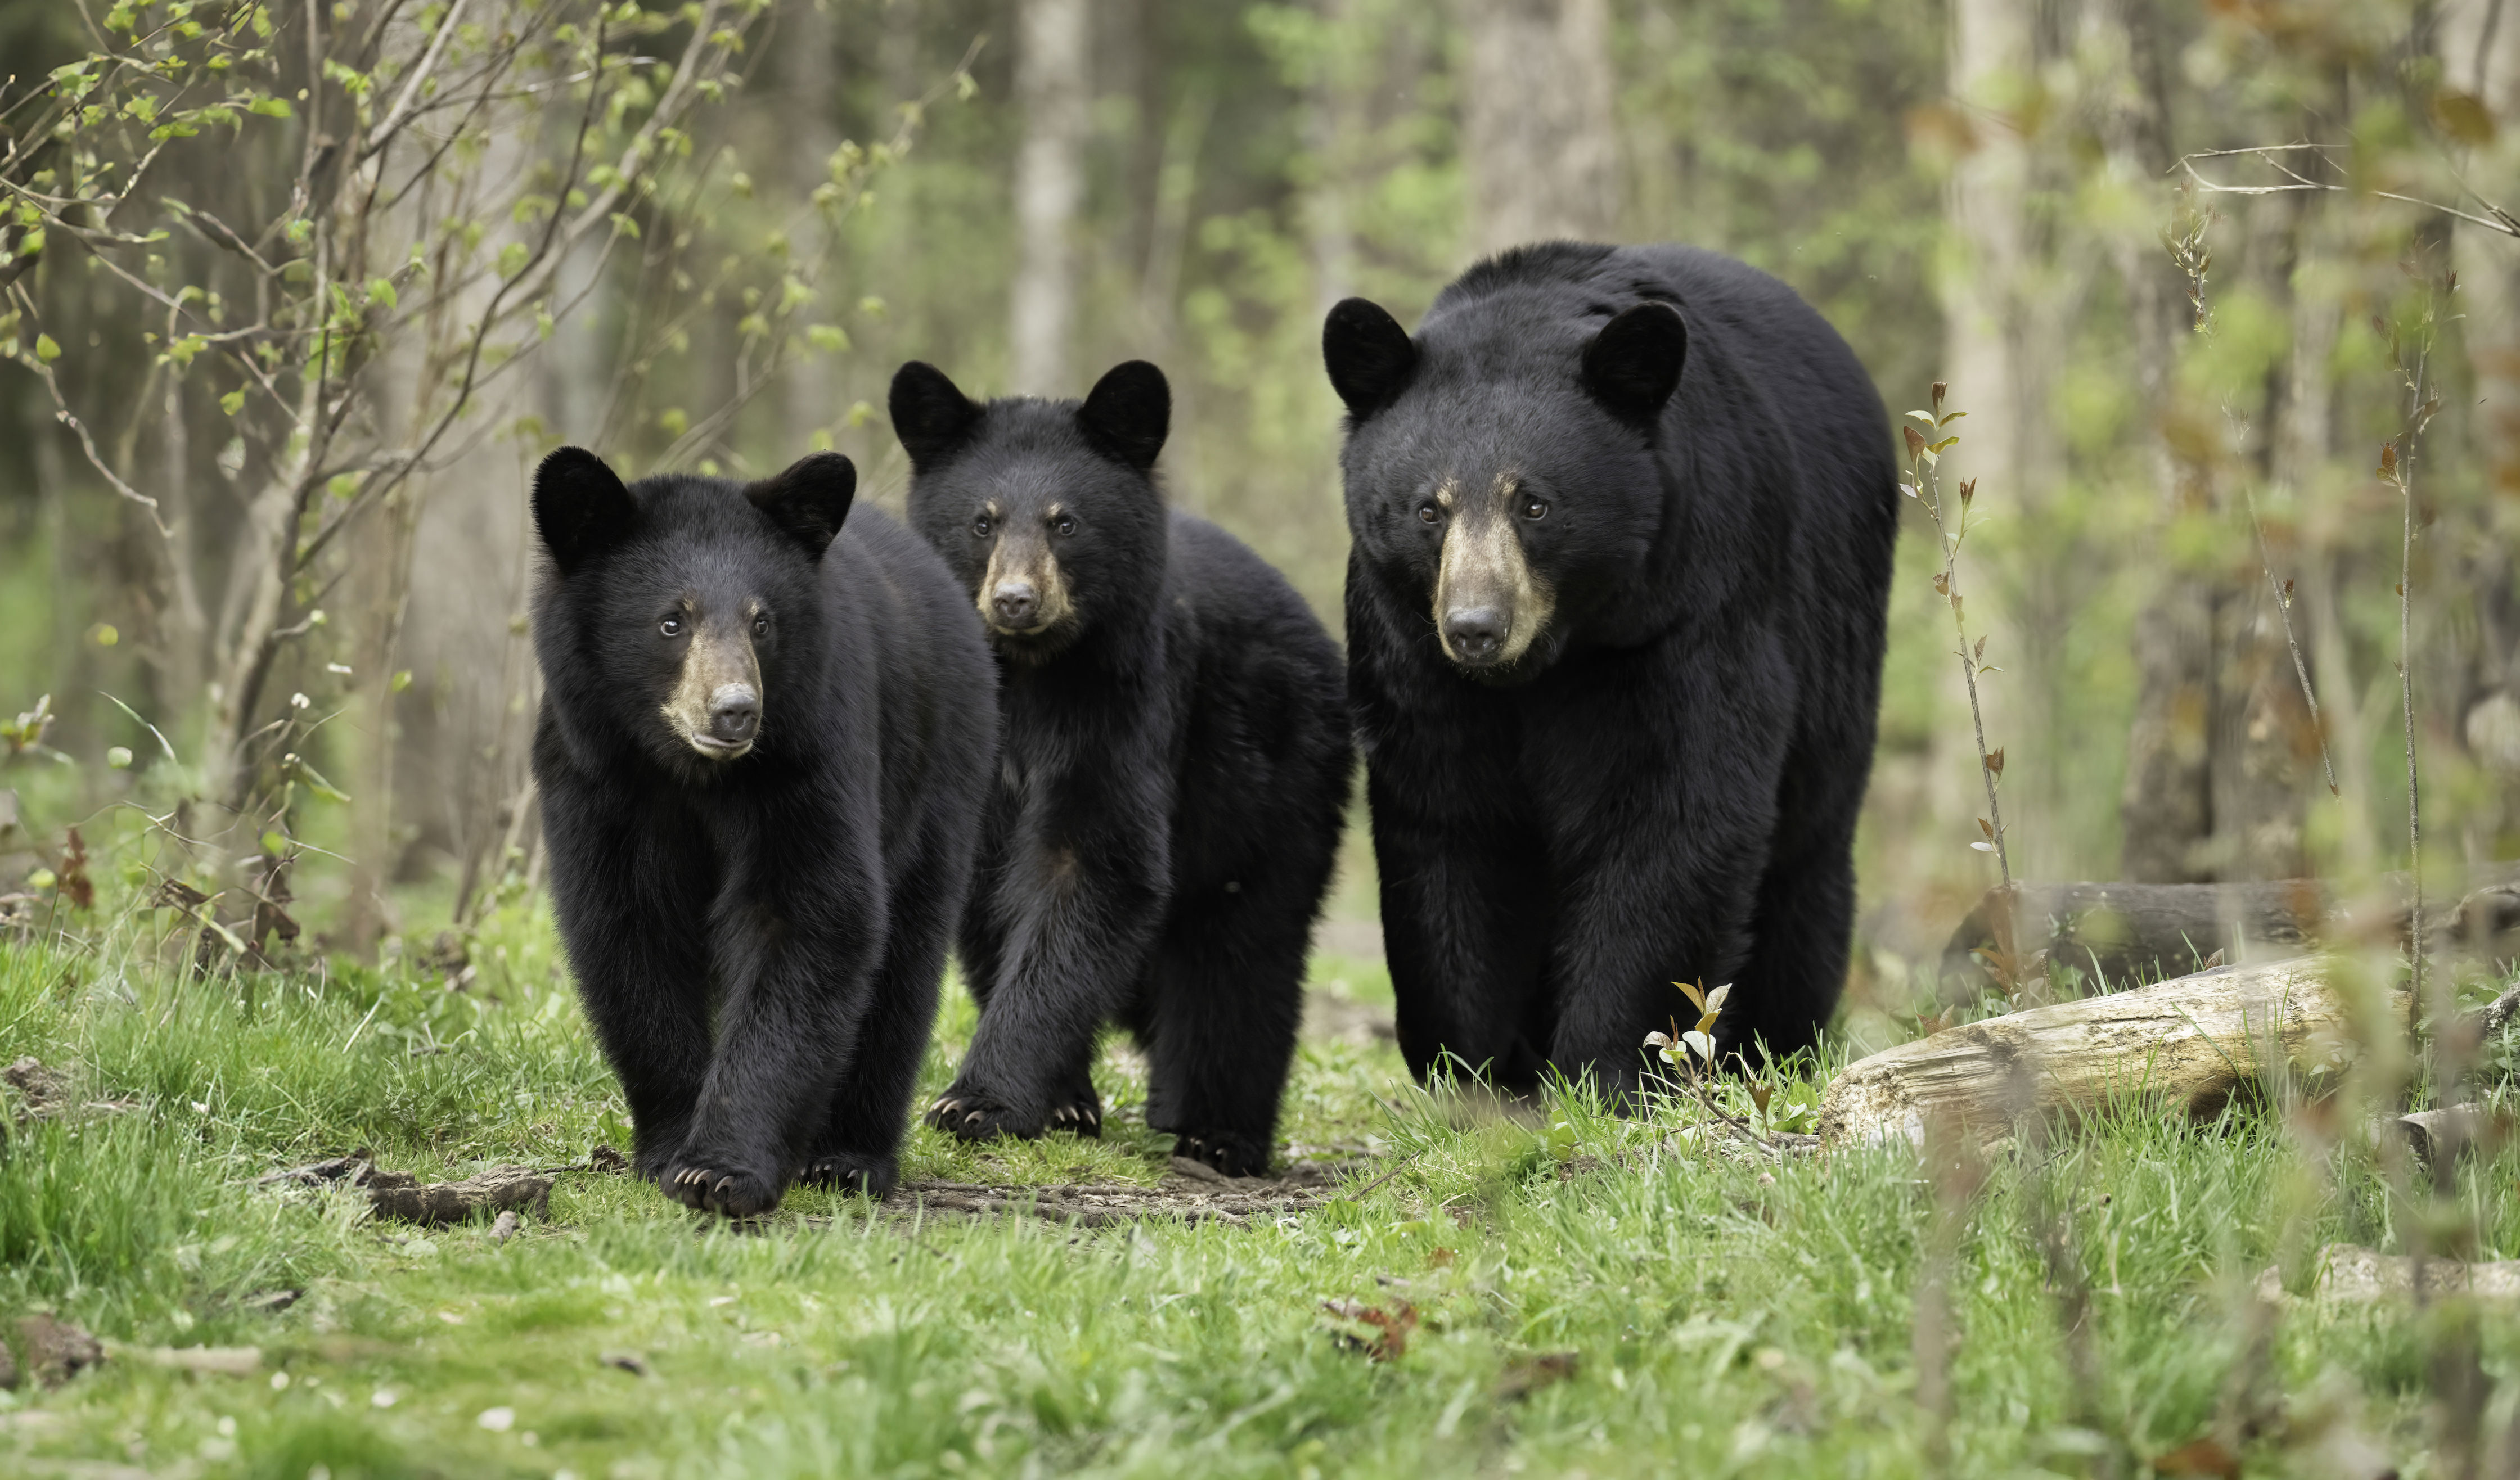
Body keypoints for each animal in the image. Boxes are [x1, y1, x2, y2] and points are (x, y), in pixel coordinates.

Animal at [529, 446, 997, 1216]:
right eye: (672, 621)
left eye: (761, 623)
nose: (735, 711)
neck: (692, 772)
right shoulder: (596, 774)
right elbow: (628, 932)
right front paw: (669, 1148)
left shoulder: (809, 756)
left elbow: (808, 916)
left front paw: (718, 1170)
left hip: (938, 769)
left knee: (903, 960)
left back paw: (849, 1156)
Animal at [888, 358, 1354, 1177]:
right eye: (983, 521)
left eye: (1064, 522)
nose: (1015, 601)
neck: (1033, 675)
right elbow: (988, 896)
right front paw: (1063, 1101)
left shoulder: (1124, 706)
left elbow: (1097, 868)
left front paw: (978, 1101)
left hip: (1277, 782)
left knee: (1243, 954)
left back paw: (1218, 1133)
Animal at [1320, 241, 1899, 1098]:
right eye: (1429, 509)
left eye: (1534, 504)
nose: (1475, 628)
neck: (1548, 659)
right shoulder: (1410, 650)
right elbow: (1450, 819)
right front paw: (1470, 1070)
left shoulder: (1686, 610)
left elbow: (1674, 810)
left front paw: (1610, 1069)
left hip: (1840, 647)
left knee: (1807, 861)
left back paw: (1776, 1041)